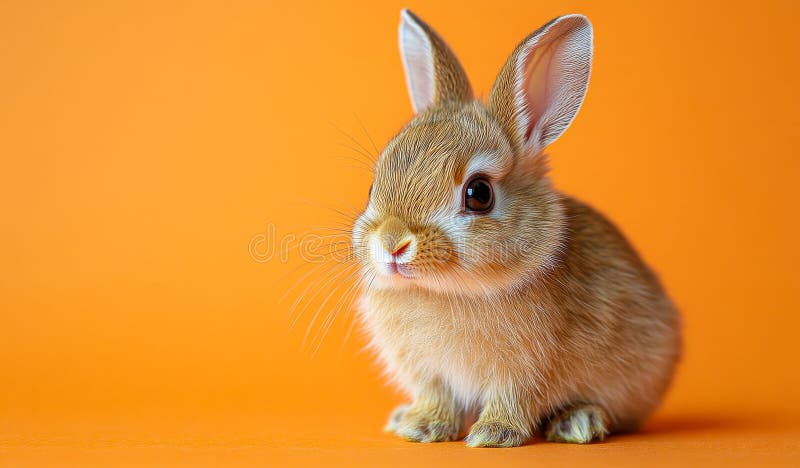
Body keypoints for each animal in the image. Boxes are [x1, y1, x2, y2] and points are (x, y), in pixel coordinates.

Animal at [350, 9, 681, 448]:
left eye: (479, 193)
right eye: (373, 186)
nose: (391, 244)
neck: (447, 291)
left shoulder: (526, 371)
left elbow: (514, 398)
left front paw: (492, 434)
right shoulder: (429, 374)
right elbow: (437, 398)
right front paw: (420, 426)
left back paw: (578, 423)